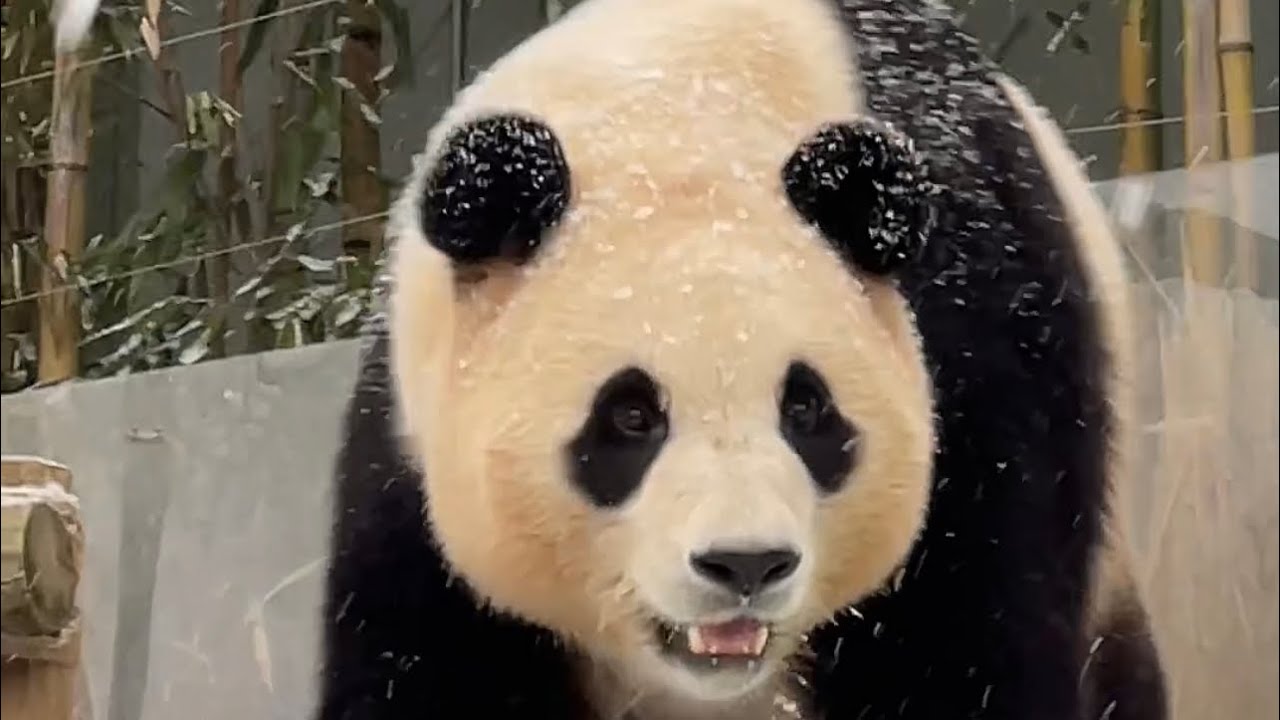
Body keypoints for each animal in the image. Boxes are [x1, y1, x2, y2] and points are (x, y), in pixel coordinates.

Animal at [315, 1, 1169, 718]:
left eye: (806, 408)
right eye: (630, 416)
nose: (746, 564)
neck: (674, 104)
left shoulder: (978, 360)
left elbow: (966, 648)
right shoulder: (413, 468)